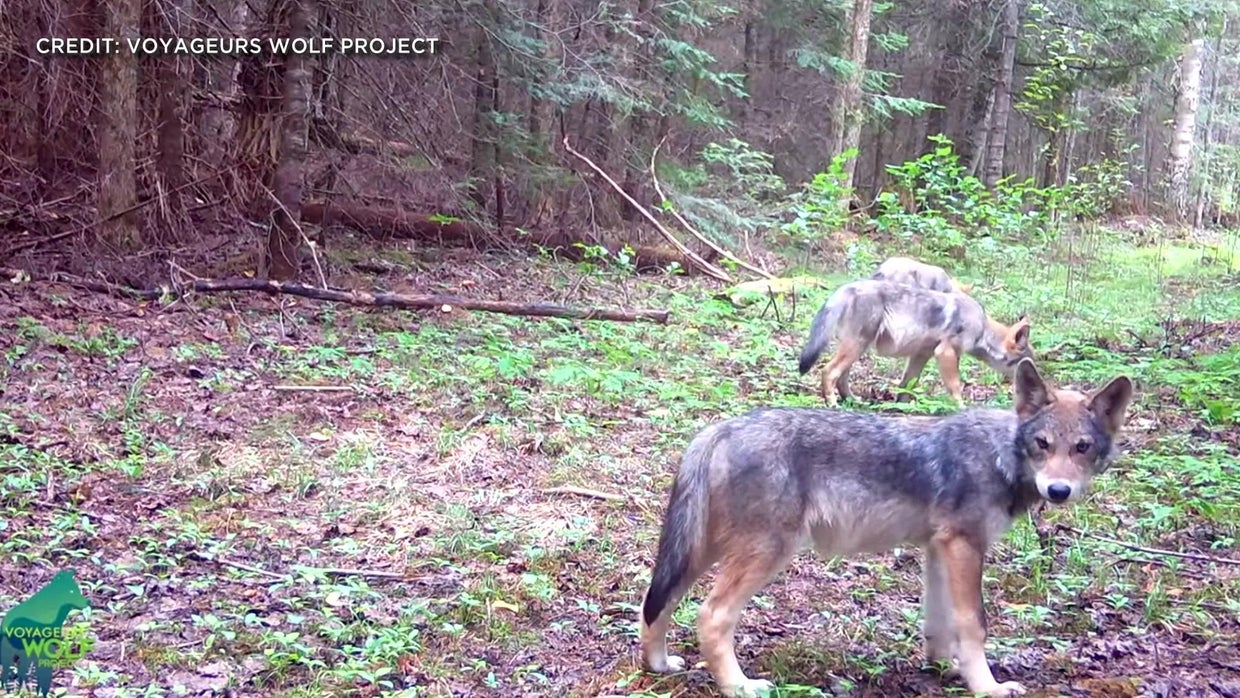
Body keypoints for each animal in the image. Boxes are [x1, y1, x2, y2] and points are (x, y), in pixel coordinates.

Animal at [637, 358, 1134, 698]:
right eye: (1042, 444)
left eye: (1082, 448)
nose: (1058, 490)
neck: (1000, 456)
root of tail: (719, 429)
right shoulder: (965, 547)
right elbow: (974, 623)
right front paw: (987, 687)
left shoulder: (939, 549)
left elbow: (940, 623)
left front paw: (944, 669)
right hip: (766, 554)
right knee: (711, 615)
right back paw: (739, 686)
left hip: (701, 553)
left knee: (655, 603)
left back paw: (658, 665)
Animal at [797, 279, 1032, 406]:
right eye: (1025, 362)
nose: (1033, 379)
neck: (982, 327)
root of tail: (847, 287)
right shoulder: (945, 352)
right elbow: (955, 387)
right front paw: (962, 409)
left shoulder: (922, 355)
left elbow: (907, 385)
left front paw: (902, 408)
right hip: (856, 346)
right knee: (829, 371)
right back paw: (832, 403)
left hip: (857, 347)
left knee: (841, 377)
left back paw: (851, 401)